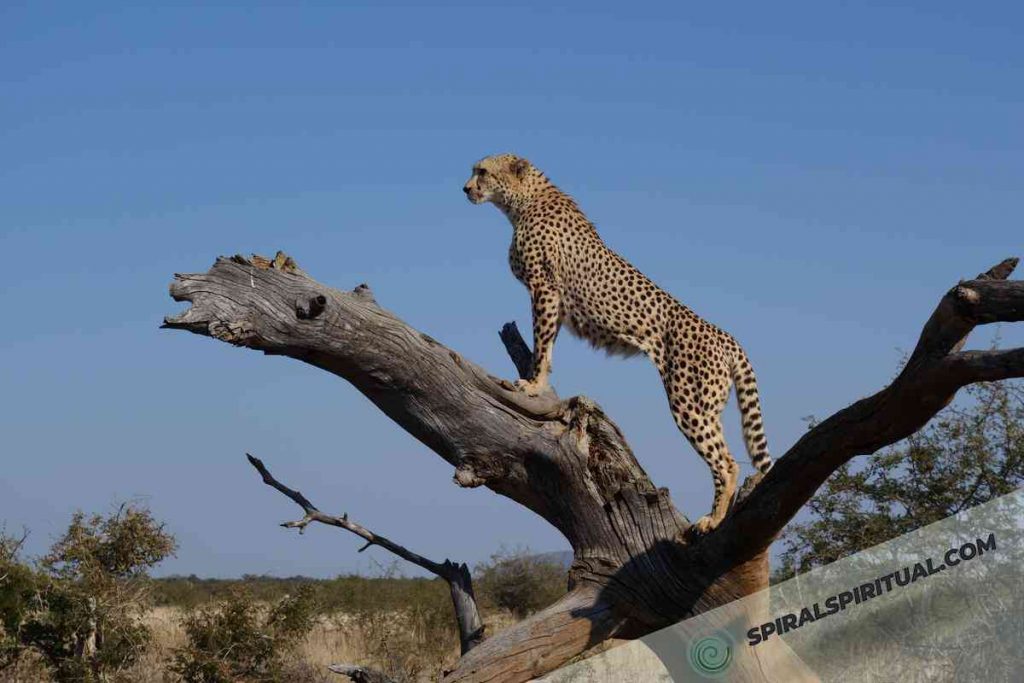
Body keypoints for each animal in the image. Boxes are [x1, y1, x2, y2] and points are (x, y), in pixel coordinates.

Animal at [463, 153, 772, 533]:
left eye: (482, 171)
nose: (466, 188)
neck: (523, 201)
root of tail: (726, 336)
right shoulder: (555, 299)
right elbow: (547, 347)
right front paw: (538, 380)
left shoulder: (544, 289)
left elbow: (542, 343)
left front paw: (533, 385)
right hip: (710, 405)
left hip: (688, 402)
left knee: (727, 462)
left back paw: (712, 519)